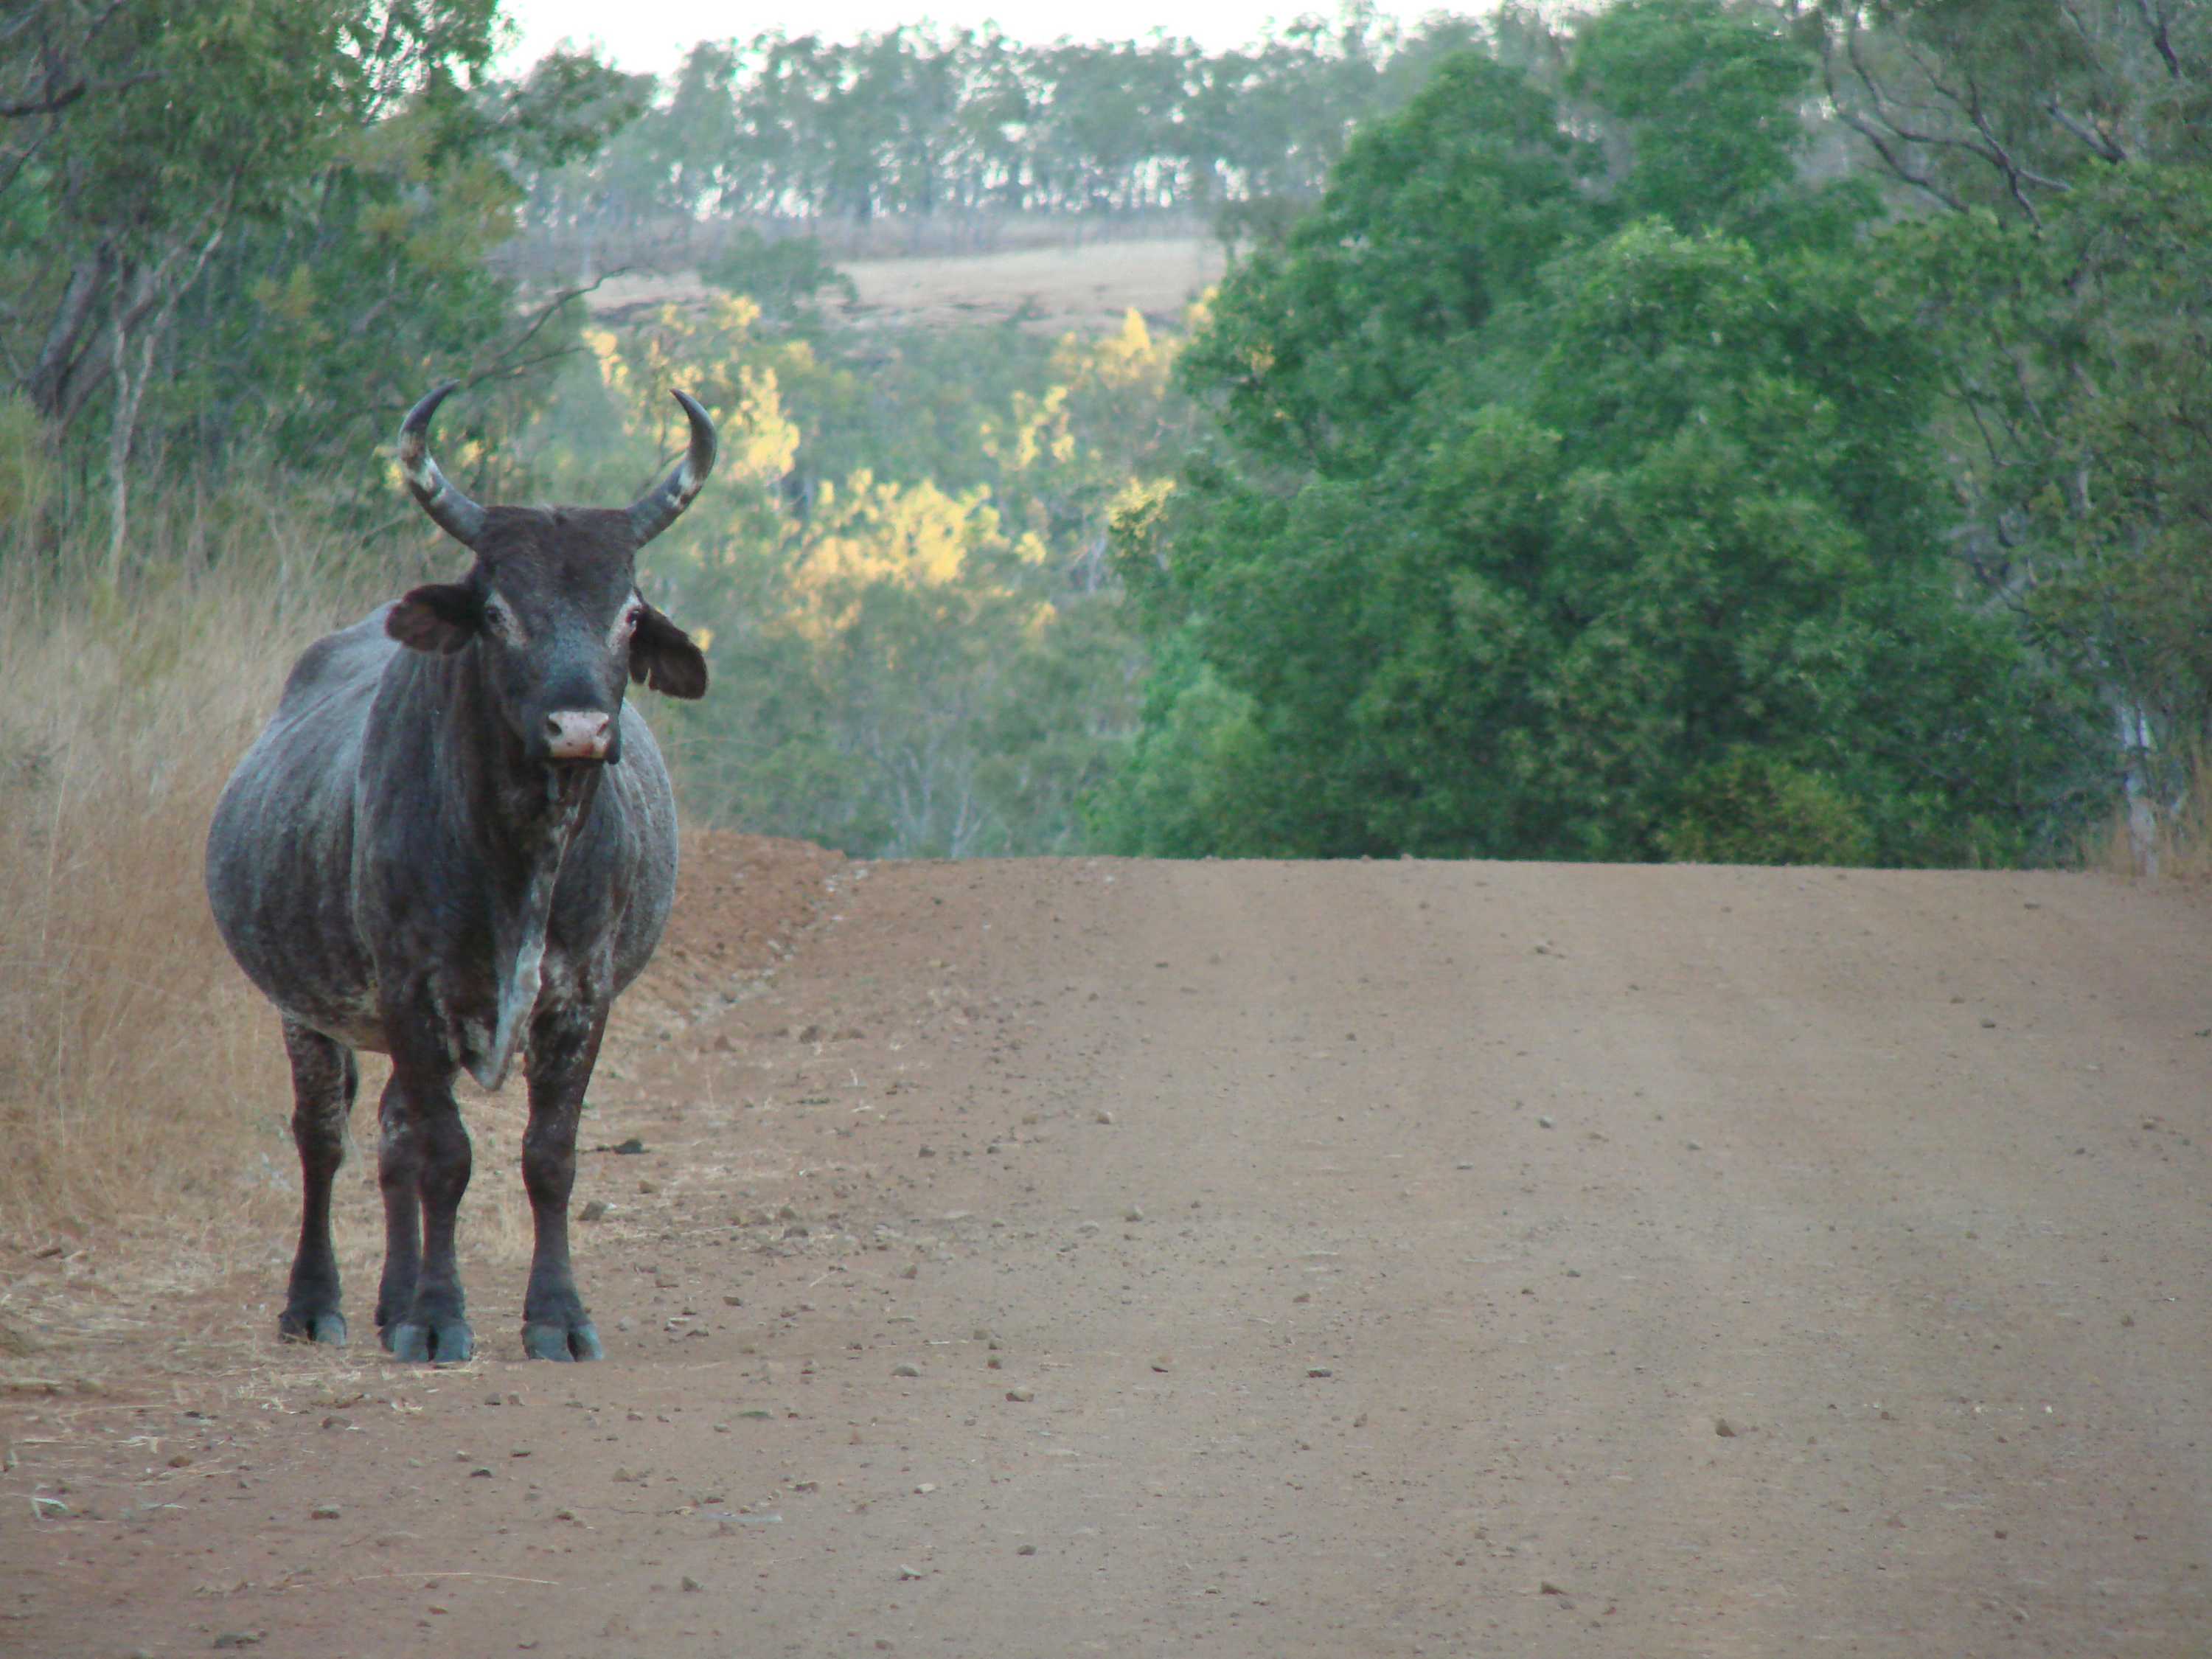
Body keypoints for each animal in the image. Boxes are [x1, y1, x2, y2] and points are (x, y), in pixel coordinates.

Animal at [204, 382, 715, 1363]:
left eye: (628, 614)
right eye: (497, 612)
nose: (580, 728)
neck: (521, 850)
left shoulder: (582, 998)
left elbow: (547, 1157)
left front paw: (556, 1317)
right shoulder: (413, 992)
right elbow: (447, 1157)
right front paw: (439, 1317)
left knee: (393, 1135)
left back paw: (390, 1298)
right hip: (307, 1013)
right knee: (326, 1140)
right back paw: (318, 1304)